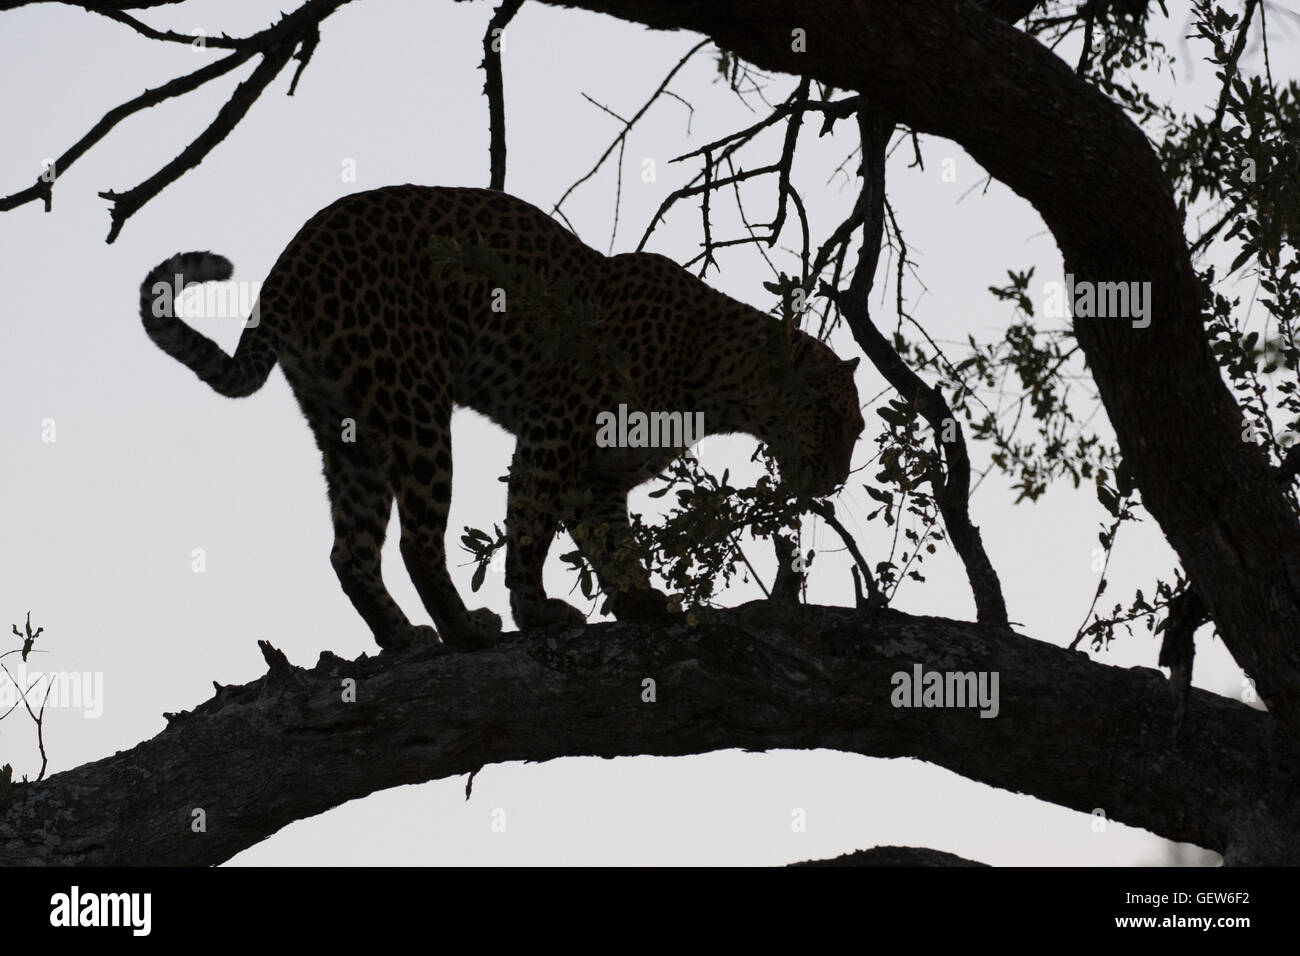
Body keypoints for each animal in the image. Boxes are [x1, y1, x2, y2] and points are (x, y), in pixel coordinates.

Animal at [140, 185, 864, 652]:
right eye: (832, 418)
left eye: (855, 431)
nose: (835, 480)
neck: (719, 379)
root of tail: (283, 272)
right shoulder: (553, 428)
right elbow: (530, 527)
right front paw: (533, 611)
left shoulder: (598, 476)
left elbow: (609, 541)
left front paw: (637, 599)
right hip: (415, 405)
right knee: (416, 540)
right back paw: (464, 629)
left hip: (349, 430)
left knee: (351, 549)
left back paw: (403, 637)